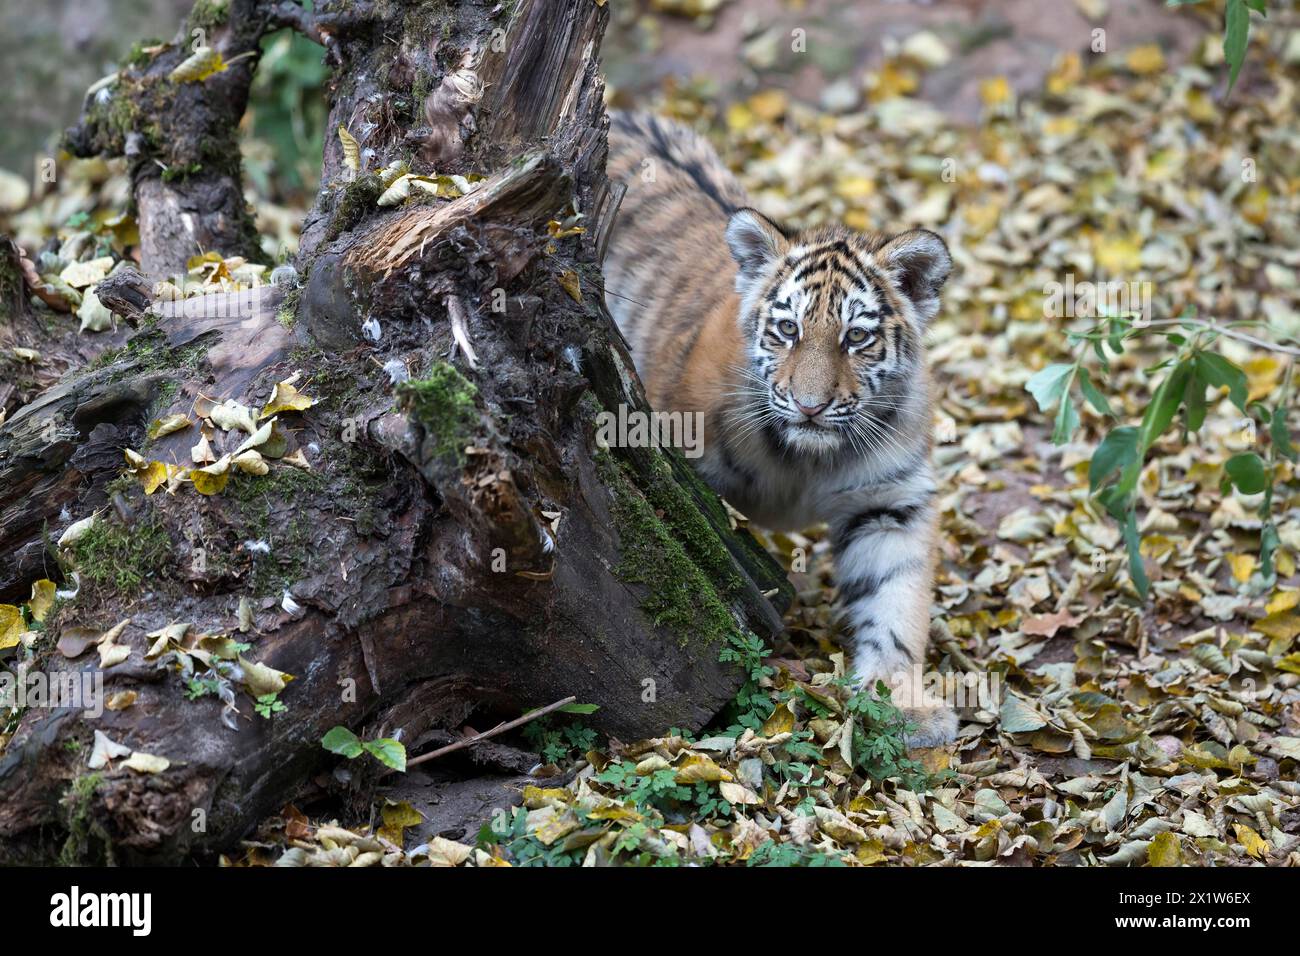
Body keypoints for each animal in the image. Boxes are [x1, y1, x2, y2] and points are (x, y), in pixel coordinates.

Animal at [602, 111, 956, 747]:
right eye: (787, 330)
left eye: (856, 337)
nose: (810, 406)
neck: (808, 459)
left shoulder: (891, 501)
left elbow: (897, 600)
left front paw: (902, 703)